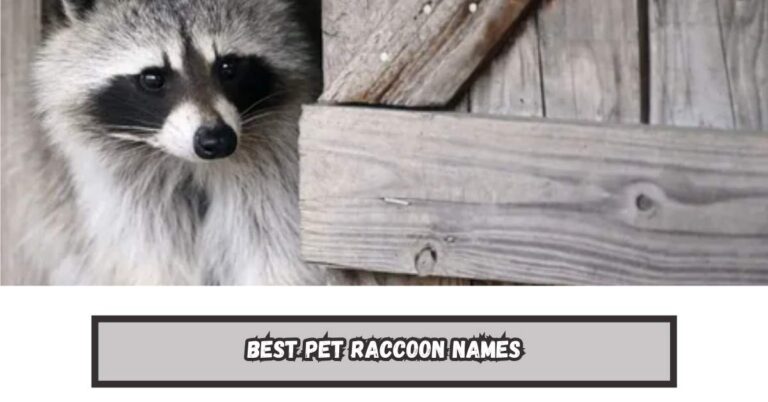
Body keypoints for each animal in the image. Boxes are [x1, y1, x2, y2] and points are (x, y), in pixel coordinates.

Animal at [6, 0, 326, 285]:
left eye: (228, 67)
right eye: (152, 78)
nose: (216, 140)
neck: (188, 164)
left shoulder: (273, 184)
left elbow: (276, 256)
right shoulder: (125, 206)